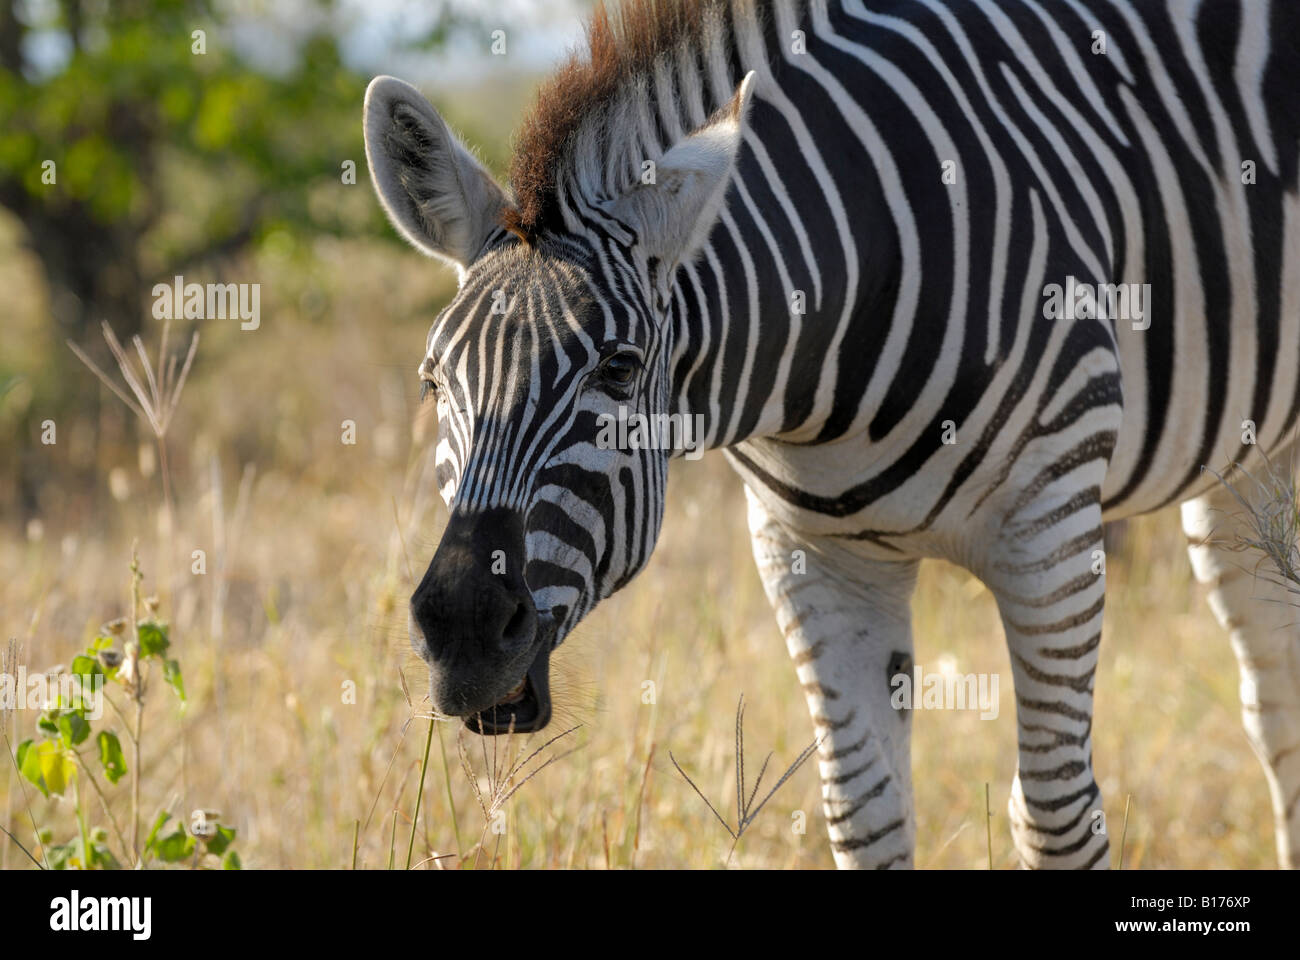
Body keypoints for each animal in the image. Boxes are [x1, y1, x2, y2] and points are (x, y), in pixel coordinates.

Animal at [362, 0, 1300, 868]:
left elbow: (1056, 820)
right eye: (434, 381)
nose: (459, 637)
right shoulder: (812, 554)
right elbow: (866, 815)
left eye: (620, 371)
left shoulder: (1053, 529)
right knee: (1277, 708)